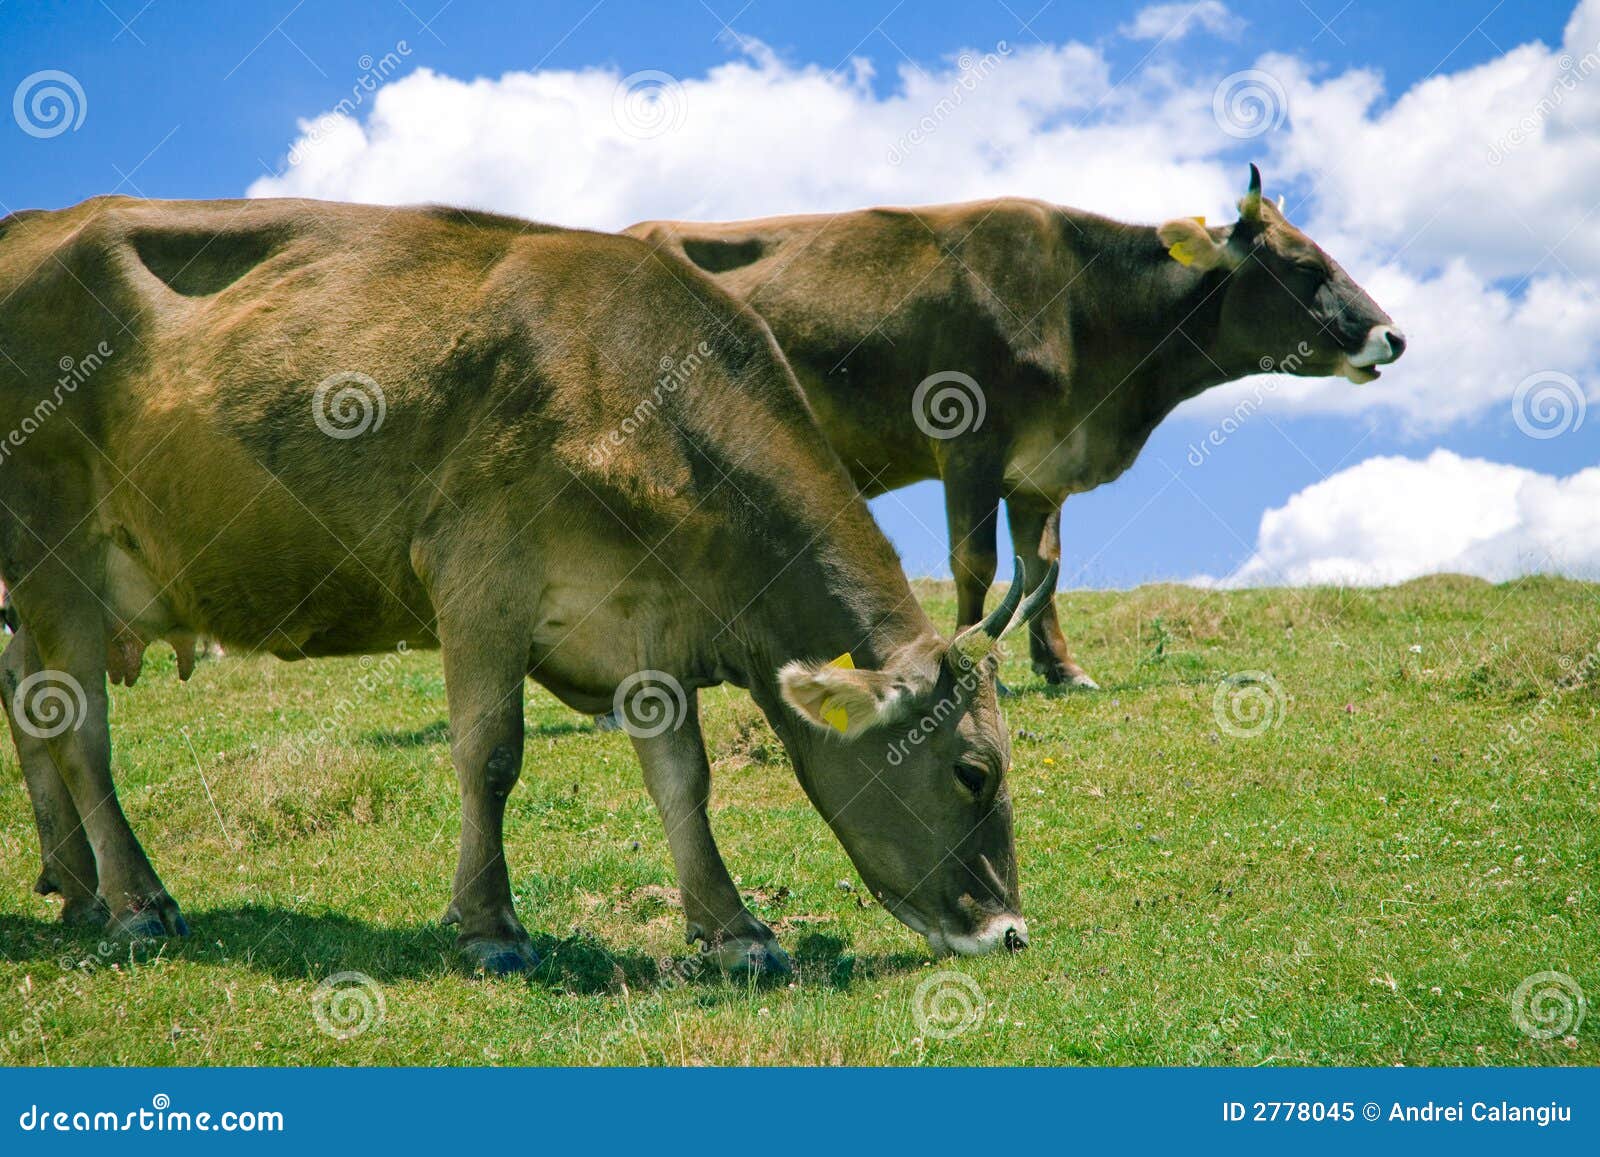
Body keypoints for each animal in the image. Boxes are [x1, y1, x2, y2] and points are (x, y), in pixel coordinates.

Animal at [0, 195, 1053, 975]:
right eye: (974, 770)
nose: (1008, 932)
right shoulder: (479, 575)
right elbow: (491, 754)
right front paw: (490, 928)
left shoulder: (647, 624)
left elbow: (684, 777)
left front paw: (734, 930)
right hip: (54, 536)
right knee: (79, 725)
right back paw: (137, 901)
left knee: (28, 695)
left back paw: (75, 884)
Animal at [626, 166, 1406, 688]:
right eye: (1303, 265)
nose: (1393, 336)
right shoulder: (969, 446)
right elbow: (978, 561)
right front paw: (980, 660)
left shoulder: (1041, 470)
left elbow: (1046, 563)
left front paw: (1062, 669)